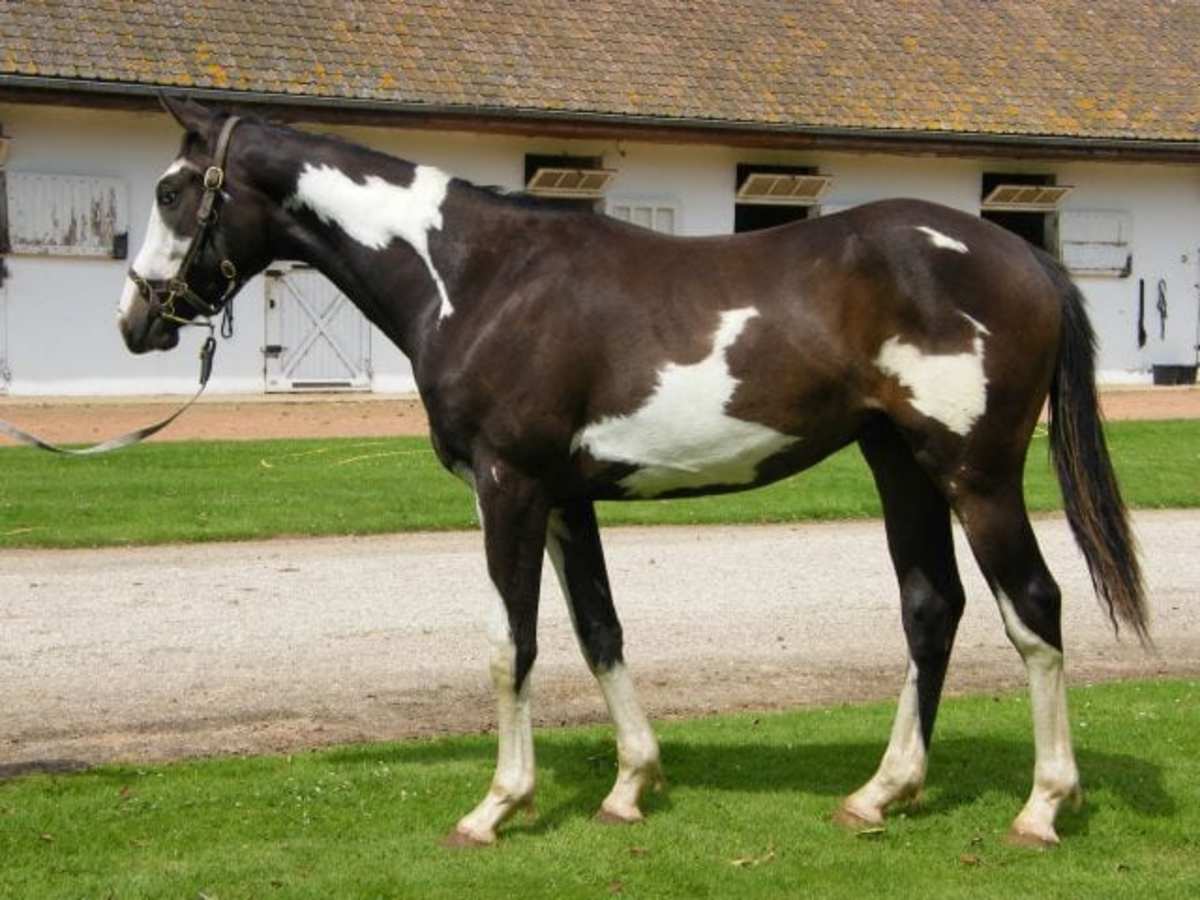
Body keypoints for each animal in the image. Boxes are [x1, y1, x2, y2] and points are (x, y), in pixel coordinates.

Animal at [117, 96, 1147, 848]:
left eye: (172, 193)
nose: (136, 321)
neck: (480, 276)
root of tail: (1029, 258)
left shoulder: (510, 486)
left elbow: (511, 644)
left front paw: (497, 807)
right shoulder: (568, 498)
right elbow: (599, 631)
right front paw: (630, 786)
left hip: (976, 475)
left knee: (1034, 607)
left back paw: (1042, 806)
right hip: (899, 462)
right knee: (933, 607)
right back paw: (879, 794)